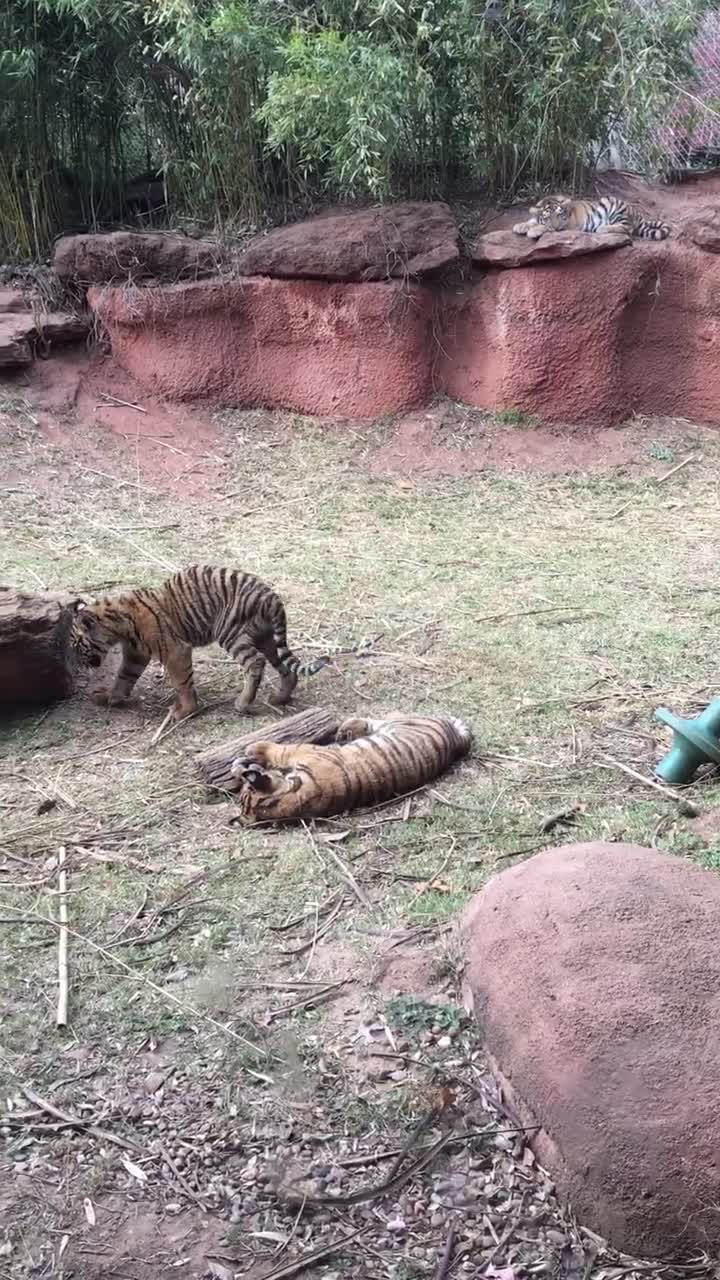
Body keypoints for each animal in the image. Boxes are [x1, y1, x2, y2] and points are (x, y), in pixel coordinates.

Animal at [70, 564, 329, 720]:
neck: (118, 624)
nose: (77, 666)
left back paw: (242, 704)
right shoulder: (136, 654)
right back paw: (279, 698)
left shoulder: (176, 650)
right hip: (267, 639)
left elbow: (182, 682)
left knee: (255, 663)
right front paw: (110, 698)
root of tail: (271, 596)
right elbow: (124, 677)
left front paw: (185, 710)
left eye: (77, 646)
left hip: (231, 633)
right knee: (286, 668)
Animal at [229, 712, 473, 823]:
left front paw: (251, 751)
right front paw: (240, 765)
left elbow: (279, 749)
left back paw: (345, 728)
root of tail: (457, 740)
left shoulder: (304, 751)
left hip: (400, 719)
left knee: (380, 717)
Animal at [512, 195, 670, 241]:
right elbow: (532, 220)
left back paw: (602, 228)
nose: (556, 226)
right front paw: (520, 226)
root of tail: (636, 212)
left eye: (559, 215)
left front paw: (533, 231)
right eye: (547, 217)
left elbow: (544, 227)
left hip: (614, 206)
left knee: (628, 228)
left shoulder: (568, 227)